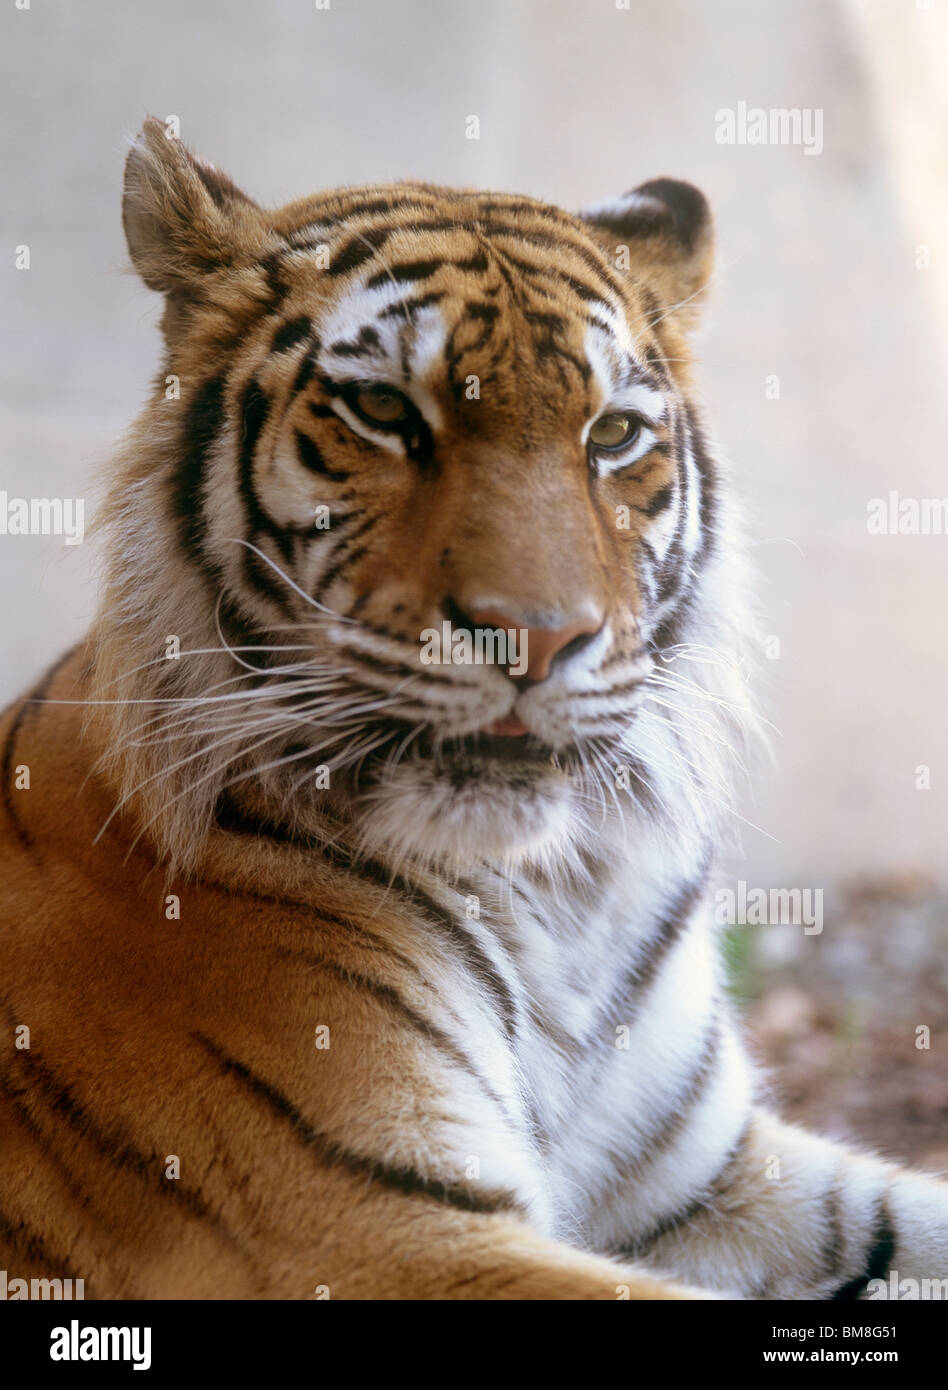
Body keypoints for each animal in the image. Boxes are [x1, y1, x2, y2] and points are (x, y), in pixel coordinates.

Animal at [0, 116, 945, 1302]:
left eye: (613, 434)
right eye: (383, 411)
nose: (536, 636)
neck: (560, 897)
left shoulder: (710, 1177)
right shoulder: (378, 1228)